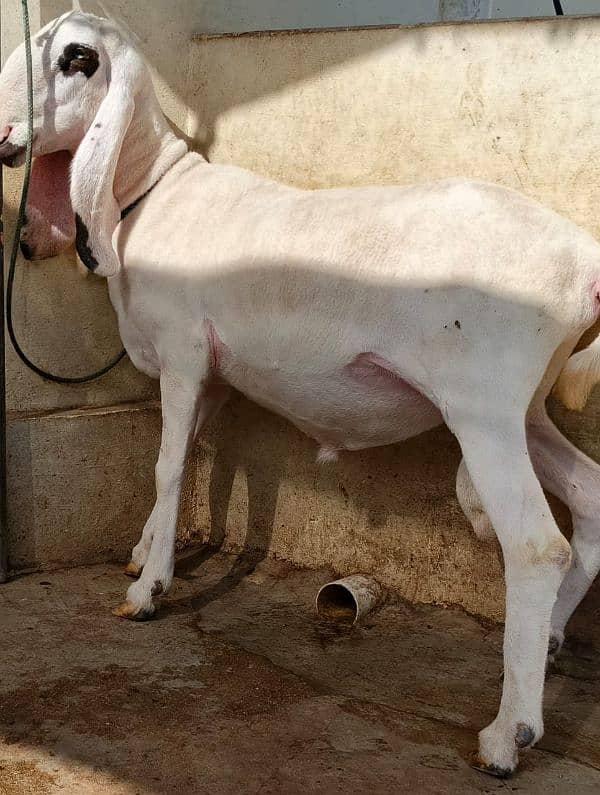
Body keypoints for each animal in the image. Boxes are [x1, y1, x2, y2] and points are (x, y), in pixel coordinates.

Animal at [2, 10, 600, 777]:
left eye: (77, 59)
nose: (4, 138)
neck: (149, 199)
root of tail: (584, 264)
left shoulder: (184, 354)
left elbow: (167, 467)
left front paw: (145, 592)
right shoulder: (213, 376)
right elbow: (185, 460)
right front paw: (145, 551)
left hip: (484, 406)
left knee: (534, 546)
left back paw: (508, 734)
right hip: (525, 405)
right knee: (588, 496)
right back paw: (550, 644)